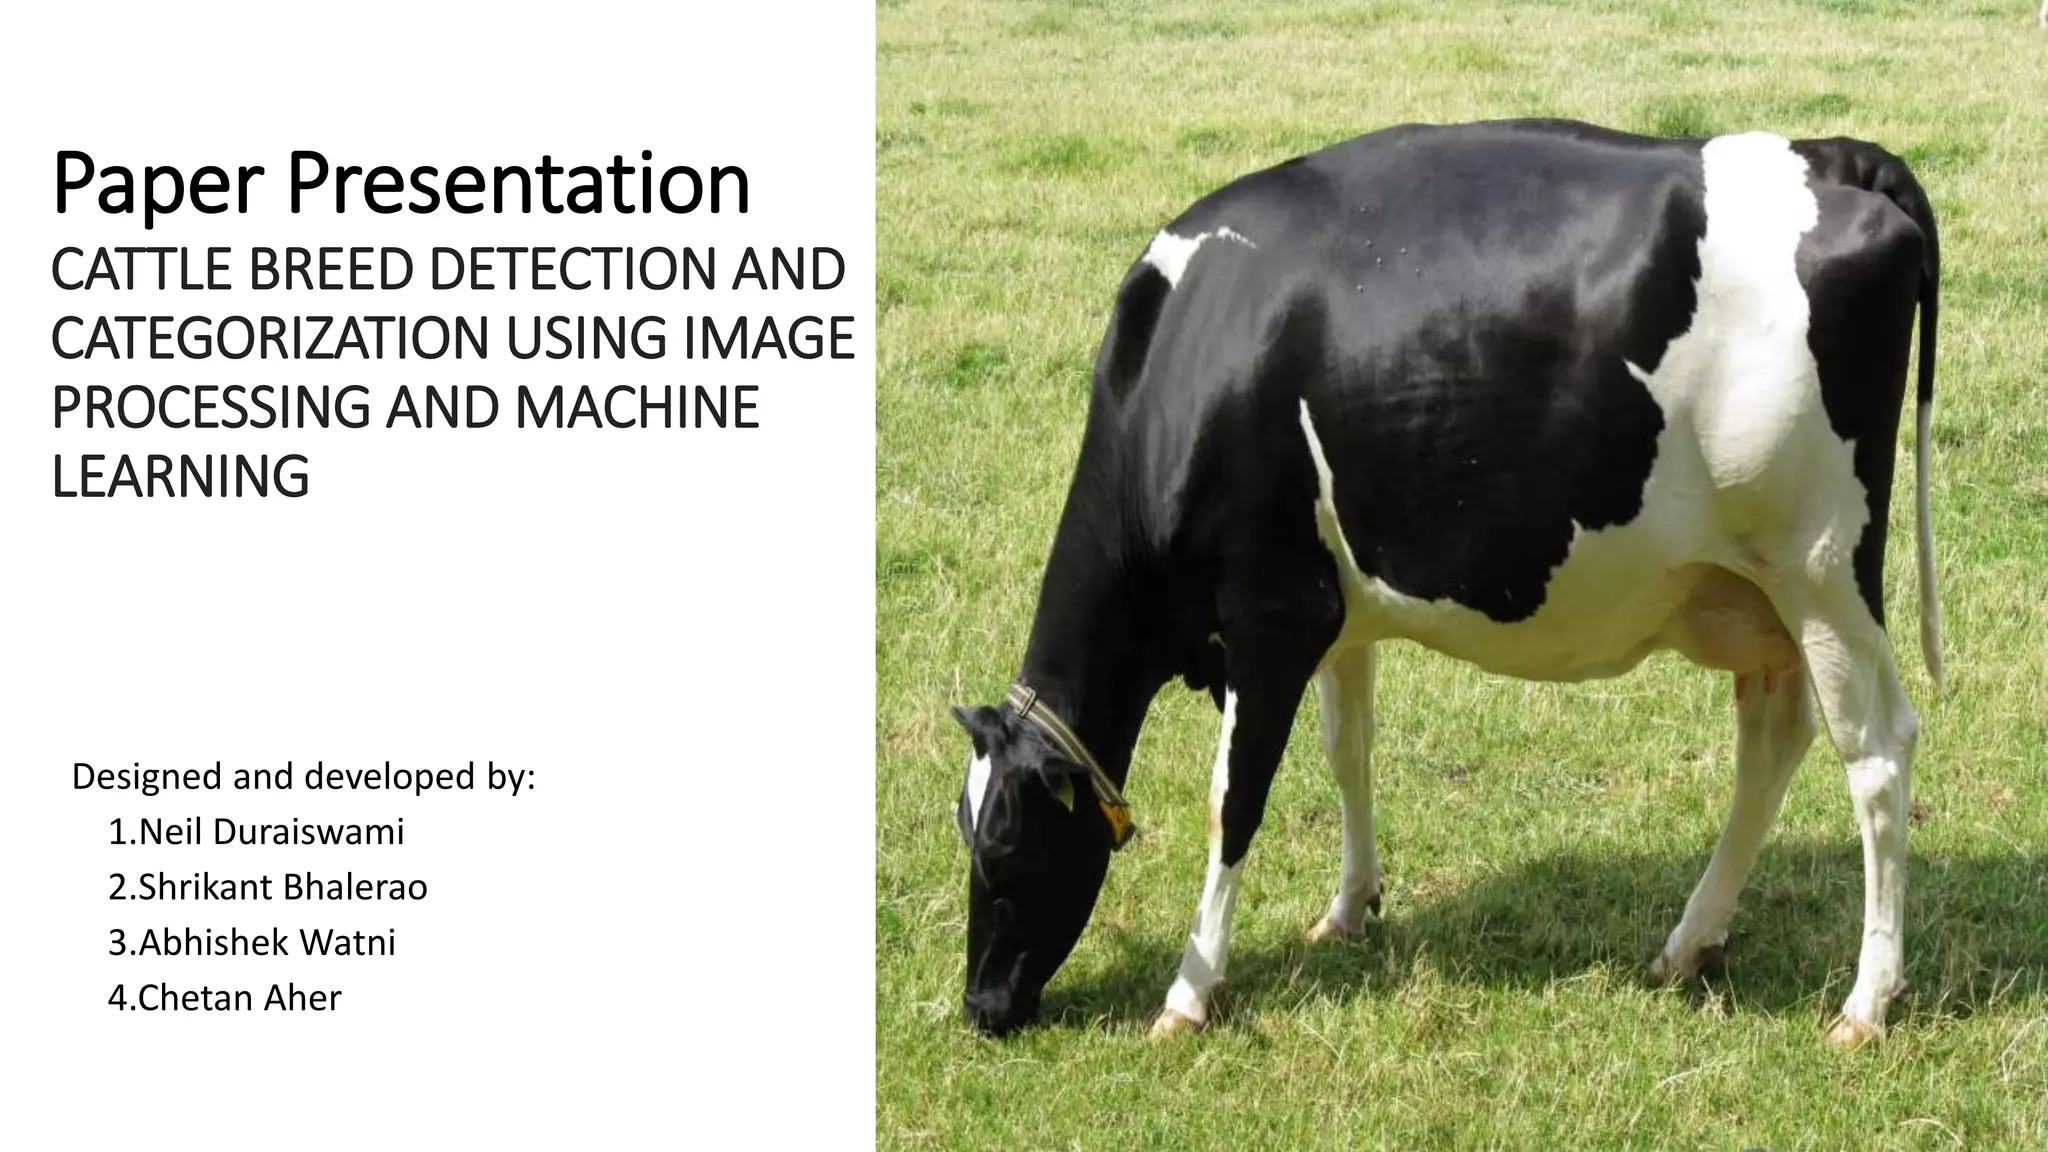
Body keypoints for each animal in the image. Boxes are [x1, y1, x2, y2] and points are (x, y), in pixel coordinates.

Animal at [949, 119, 1943, 1049]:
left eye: (1004, 842)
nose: (981, 1005)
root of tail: (1828, 152)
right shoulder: (1338, 616)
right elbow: (1348, 753)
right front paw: (1348, 908)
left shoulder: (1270, 617)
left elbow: (1233, 802)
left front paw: (1190, 992)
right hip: (1759, 594)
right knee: (1771, 744)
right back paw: (1688, 944)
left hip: (1823, 569)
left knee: (1878, 755)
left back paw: (1867, 1001)